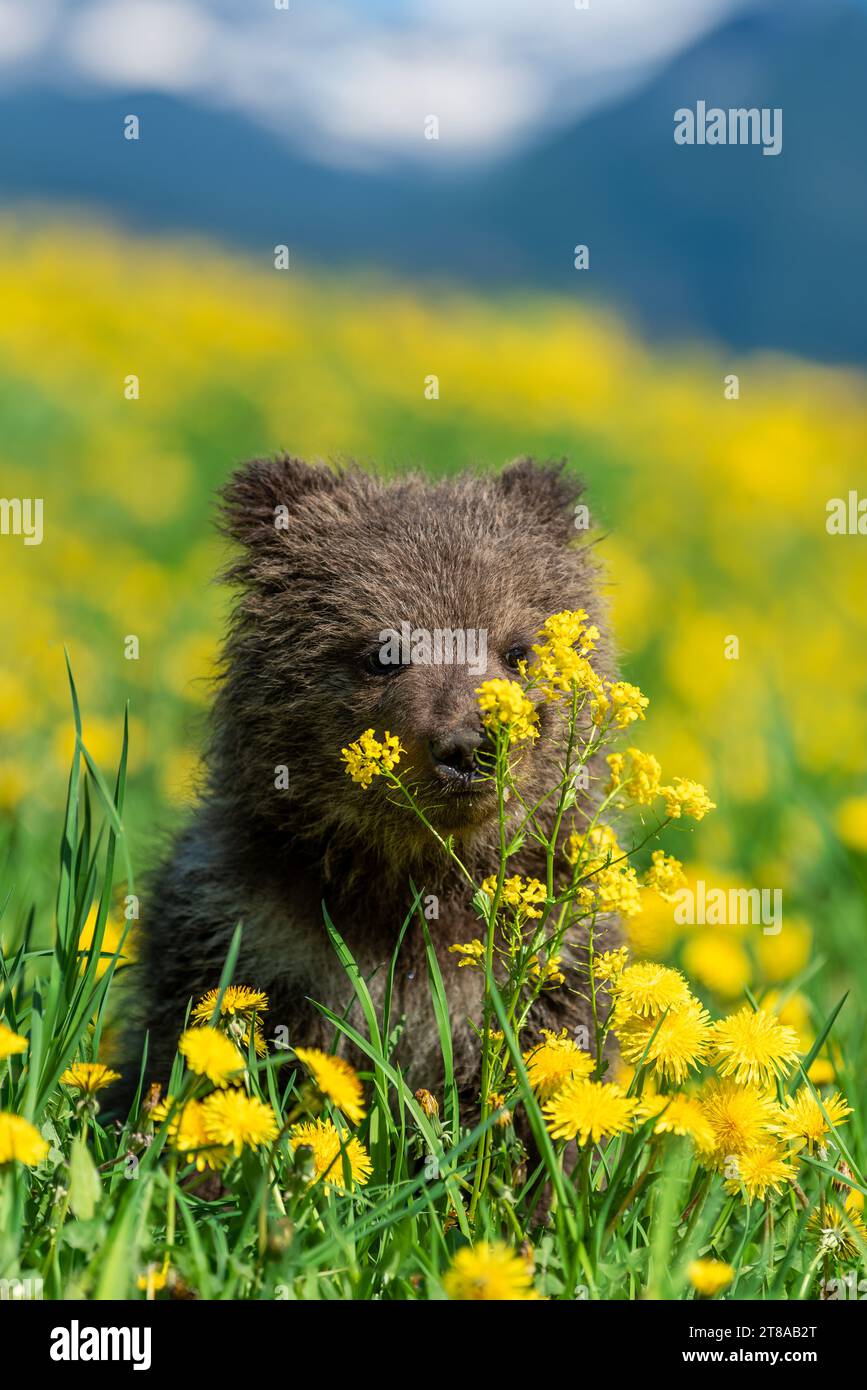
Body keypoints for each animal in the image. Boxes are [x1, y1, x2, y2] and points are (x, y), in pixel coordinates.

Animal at [117, 456, 618, 1113]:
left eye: (518, 651)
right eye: (383, 651)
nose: (468, 747)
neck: (405, 879)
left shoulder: (551, 951)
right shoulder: (246, 930)